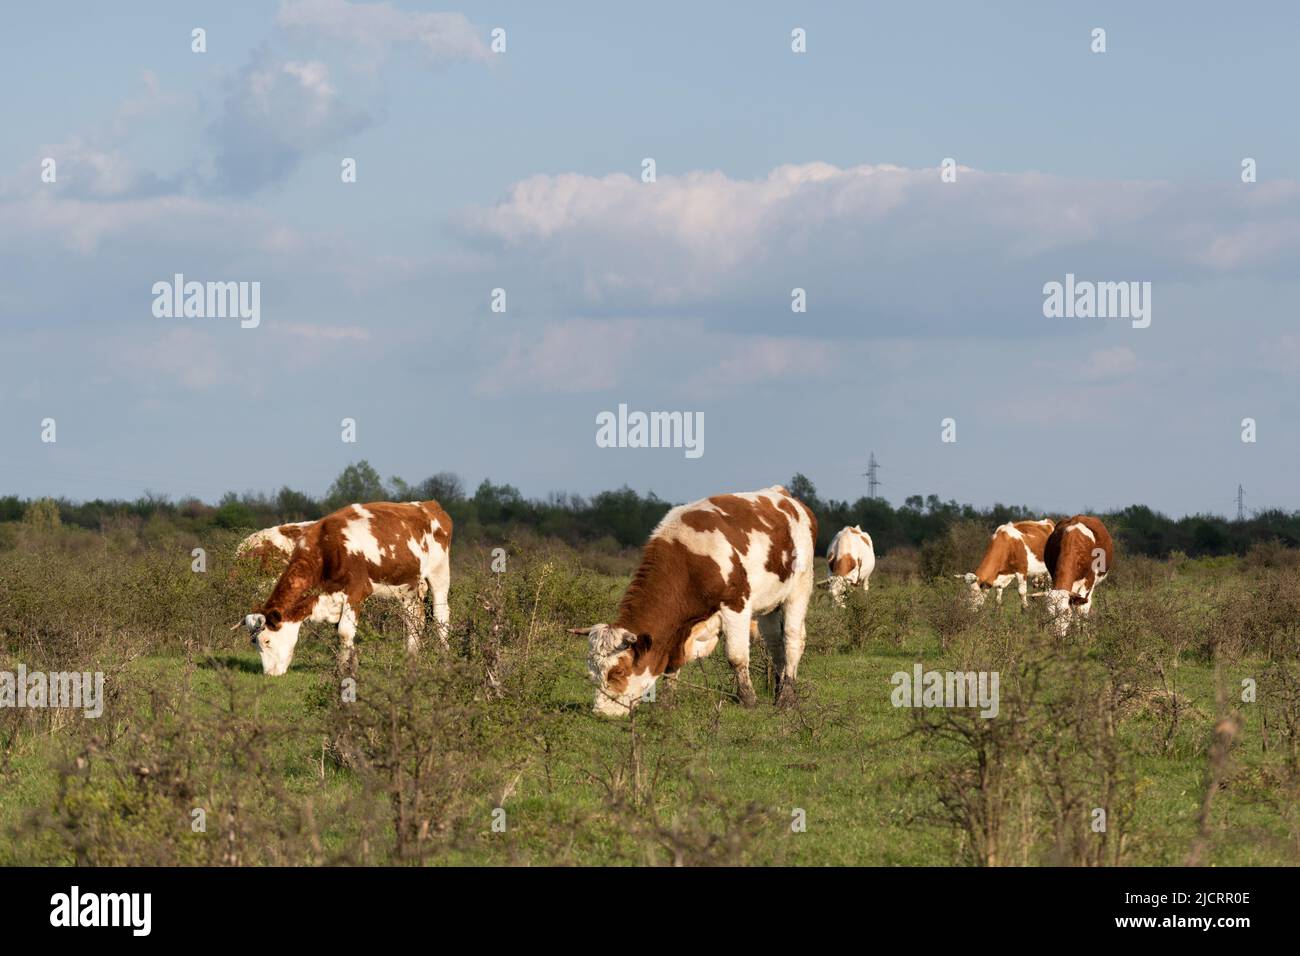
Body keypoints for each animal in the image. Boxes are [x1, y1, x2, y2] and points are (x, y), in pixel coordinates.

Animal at [235, 500, 452, 675]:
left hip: (439, 574)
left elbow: (344, 632)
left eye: (267, 641)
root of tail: (429, 505)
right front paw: (351, 665)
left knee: (441, 616)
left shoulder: (356, 592)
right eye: (254, 643)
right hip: (409, 587)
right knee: (414, 621)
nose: (269, 674)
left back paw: (444, 660)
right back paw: (411, 661)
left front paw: (341, 671)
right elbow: (342, 634)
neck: (327, 548)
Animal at [586, 485, 817, 717]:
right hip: (770, 605)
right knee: (775, 645)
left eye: (618, 672)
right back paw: (778, 691)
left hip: (799, 589)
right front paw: (667, 702)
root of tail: (785, 495)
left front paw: (748, 699)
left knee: (792, 640)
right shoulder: (679, 629)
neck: (688, 561)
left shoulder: (736, 604)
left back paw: (787, 698)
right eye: (592, 672)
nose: (600, 712)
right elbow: (672, 662)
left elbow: (737, 657)